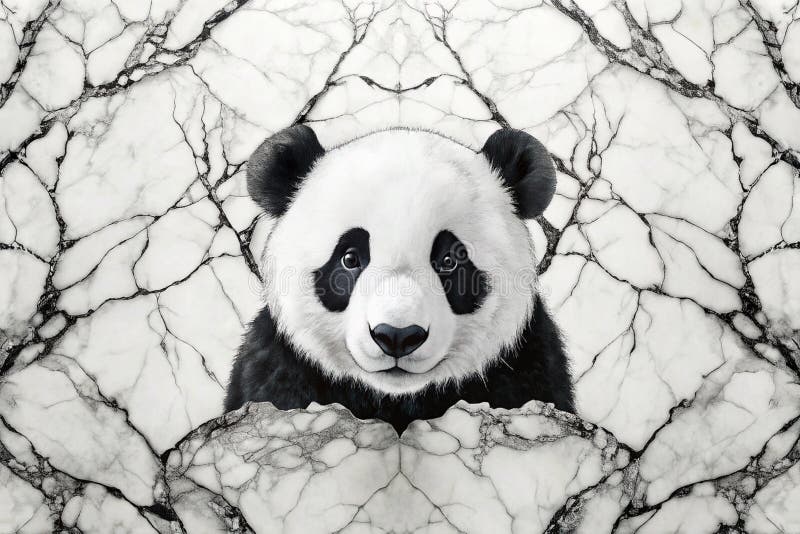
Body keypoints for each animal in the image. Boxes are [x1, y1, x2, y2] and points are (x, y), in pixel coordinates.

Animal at [225, 125, 574, 433]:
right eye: (350, 258)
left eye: (450, 260)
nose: (397, 336)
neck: (396, 399)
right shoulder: (279, 372)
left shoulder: (526, 370)